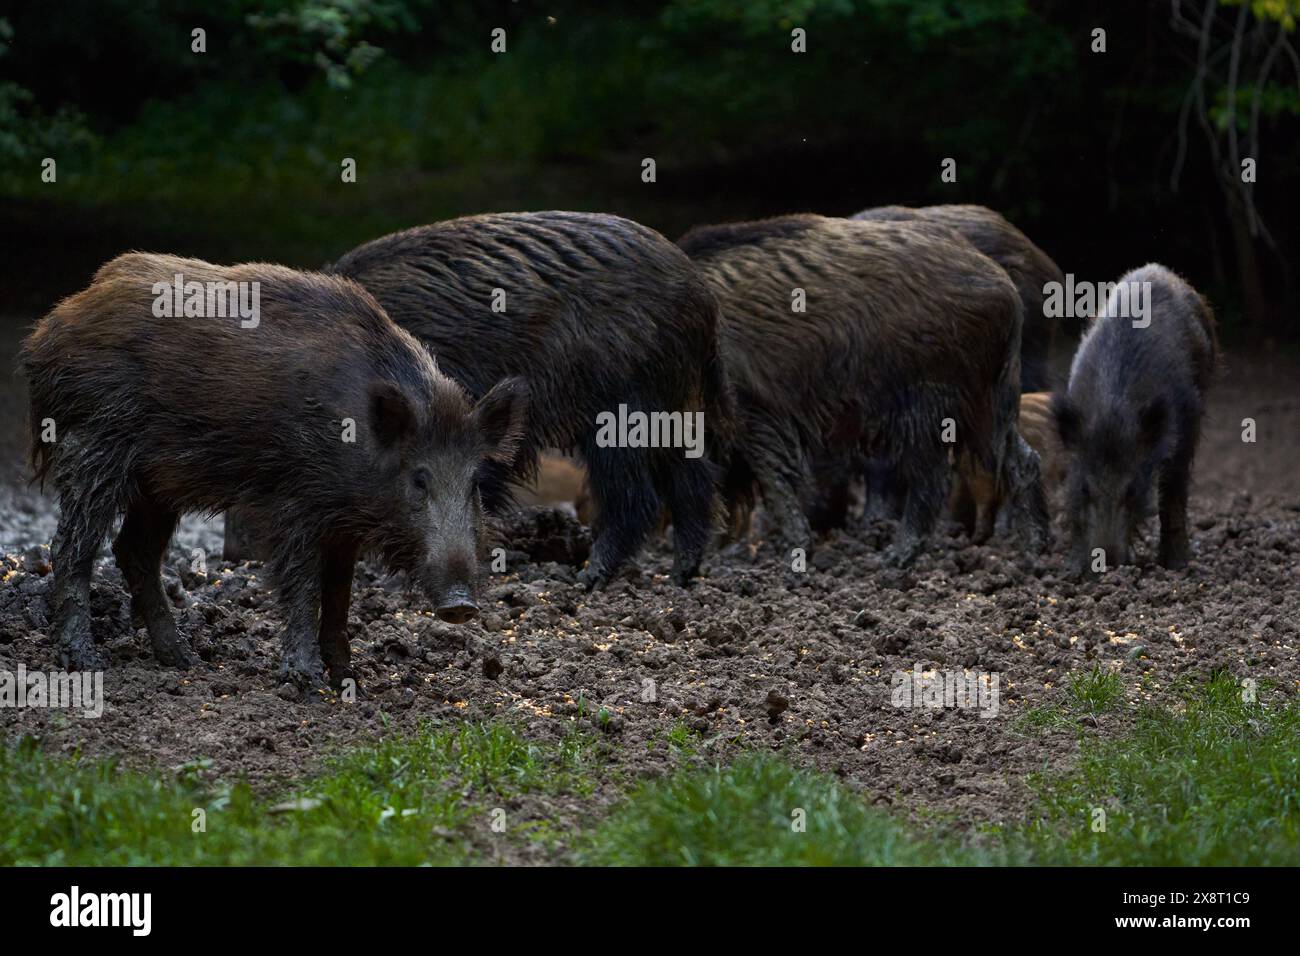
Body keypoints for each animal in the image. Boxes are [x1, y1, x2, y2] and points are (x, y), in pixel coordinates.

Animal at [20, 253, 525, 689]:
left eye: (474, 483)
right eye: (419, 479)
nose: (461, 605)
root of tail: (48, 330)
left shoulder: (343, 523)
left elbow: (340, 594)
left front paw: (350, 679)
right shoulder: (296, 502)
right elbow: (303, 587)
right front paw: (304, 682)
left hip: (158, 485)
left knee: (134, 551)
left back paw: (185, 662)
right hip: (94, 447)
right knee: (73, 546)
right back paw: (86, 660)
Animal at [329, 211, 734, 588]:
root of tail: (703, 296)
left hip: (623, 406)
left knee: (636, 496)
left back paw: (588, 578)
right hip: (669, 404)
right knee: (695, 476)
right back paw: (680, 575)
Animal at [678, 214, 1048, 566]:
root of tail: (1005, 288)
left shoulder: (754, 408)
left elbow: (770, 478)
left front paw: (789, 553)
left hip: (931, 398)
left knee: (933, 477)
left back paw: (891, 560)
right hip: (988, 397)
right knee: (1022, 460)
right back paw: (1032, 556)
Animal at [1052, 264, 1217, 574]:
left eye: (1132, 490)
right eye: (1085, 488)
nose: (1106, 561)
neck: (1112, 410)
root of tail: (1159, 269)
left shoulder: (1186, 418)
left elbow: (1173, 491)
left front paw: (1176, 565)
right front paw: (1073, 570)